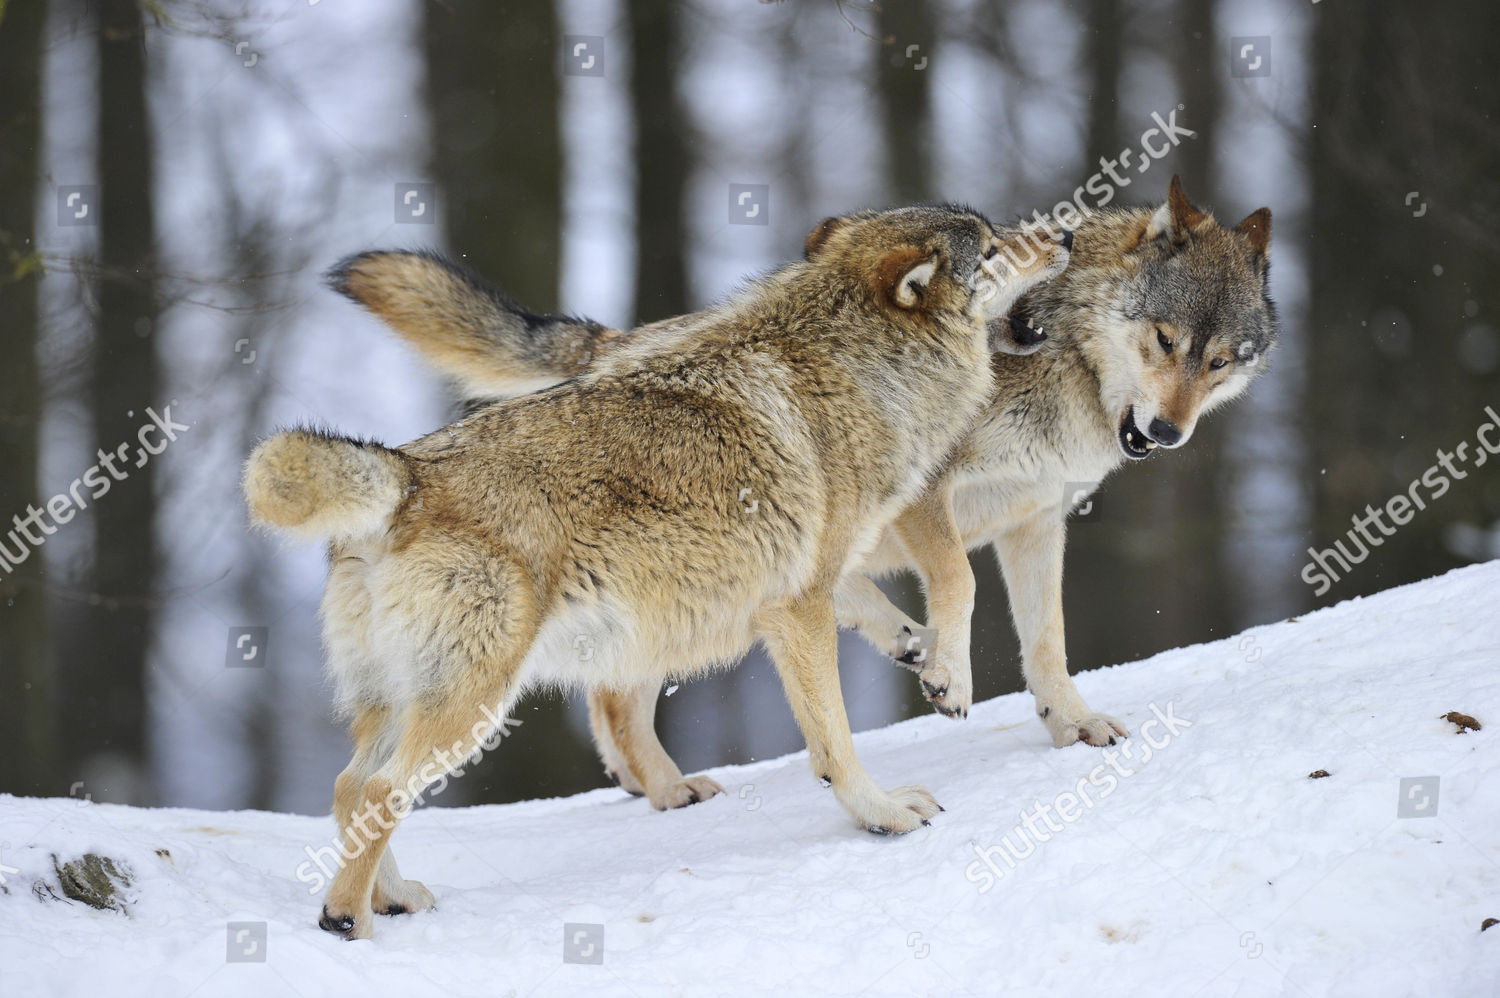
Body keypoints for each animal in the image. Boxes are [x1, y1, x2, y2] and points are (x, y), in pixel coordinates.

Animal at [243, 206, 1071, 938]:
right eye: (993, 248)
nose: (1063, 235)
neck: (853, 369)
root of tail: (406, 476)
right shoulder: (797, 607)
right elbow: (839, 737)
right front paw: (886, 811)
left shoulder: (803, 581)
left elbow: (886, 605)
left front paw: (922, 653)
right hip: (476, 705)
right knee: (381, 790)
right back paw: (345, 920)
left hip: (426, 696)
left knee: (351, 787)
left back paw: (393, 897)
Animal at [332, 178, 1275, 810]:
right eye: (1165, 340)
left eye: (1219, 361)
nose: (1168, 434)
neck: (1068, 364)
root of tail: (619, 342)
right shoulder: (930, 493)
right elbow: (959, 584)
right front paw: (952, 681)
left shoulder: (1036, 522)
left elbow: (1047, 646)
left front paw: (1069, 724)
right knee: (613, 700)